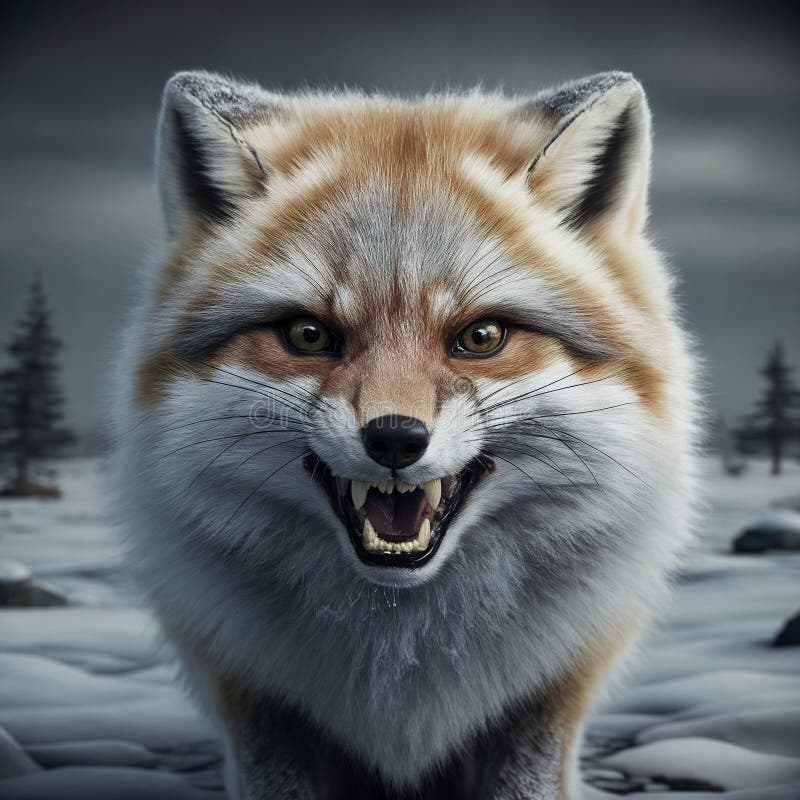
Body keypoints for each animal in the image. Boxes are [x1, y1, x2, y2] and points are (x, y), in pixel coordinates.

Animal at [112, 70, 697, 799]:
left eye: (482, 337)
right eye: (309, 335)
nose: (394, 438)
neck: (401, 659)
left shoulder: (546, 698)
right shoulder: (257, 698)